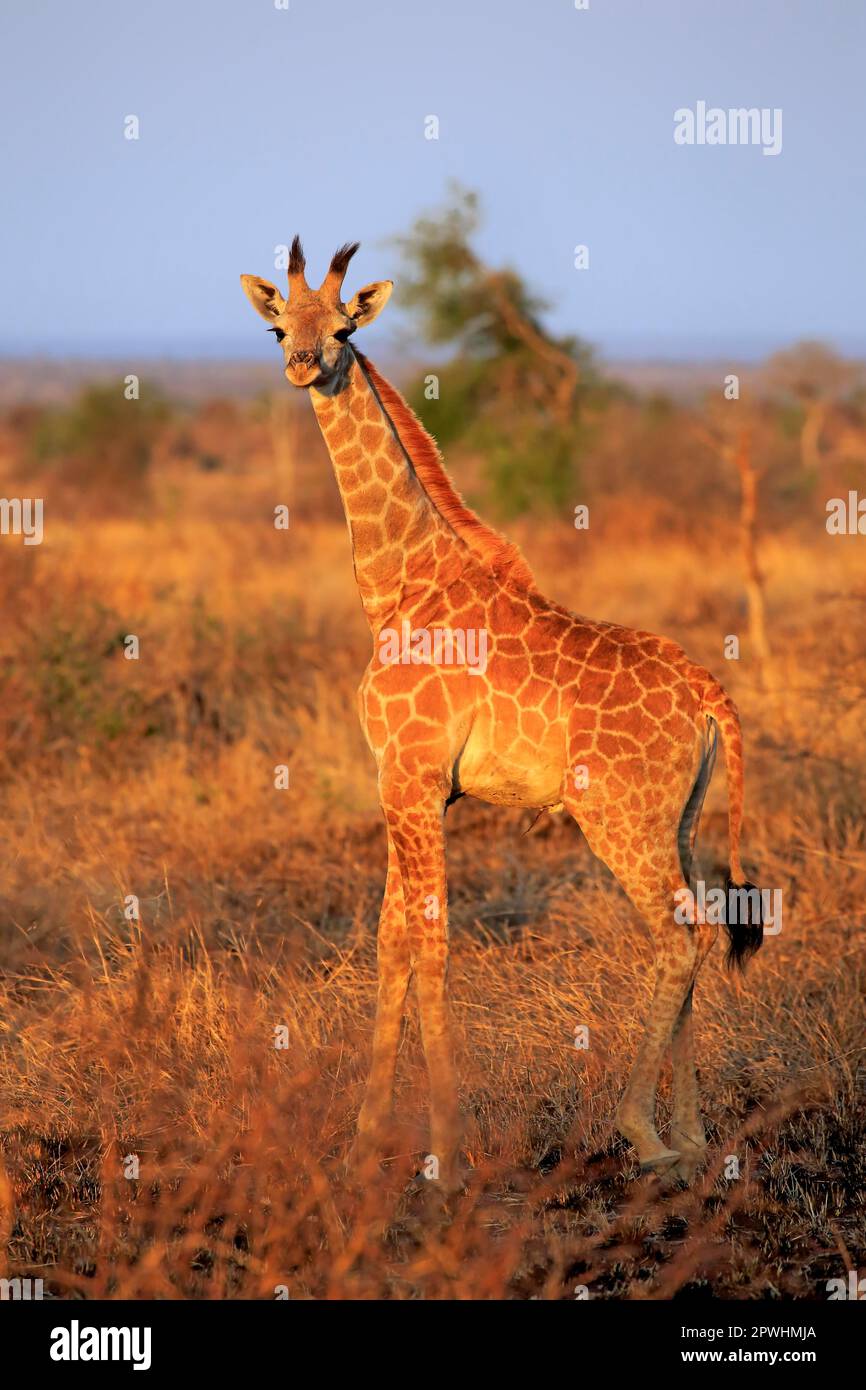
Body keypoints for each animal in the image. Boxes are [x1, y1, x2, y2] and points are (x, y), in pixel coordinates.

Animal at [241, 238, 764, 1186]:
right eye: (276, 326)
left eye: (344, 328)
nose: (303, 363)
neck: (399, 584)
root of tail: (711, 696)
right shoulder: (401, 784)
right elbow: (392, 941)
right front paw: (364, 1140)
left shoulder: (414, 777)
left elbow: (432, 941)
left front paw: (444, 1147)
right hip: (681, 816)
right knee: (702, 927)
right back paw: (695, 1136)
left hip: (616, 815)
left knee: (681, 932)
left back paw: (642, 1132)